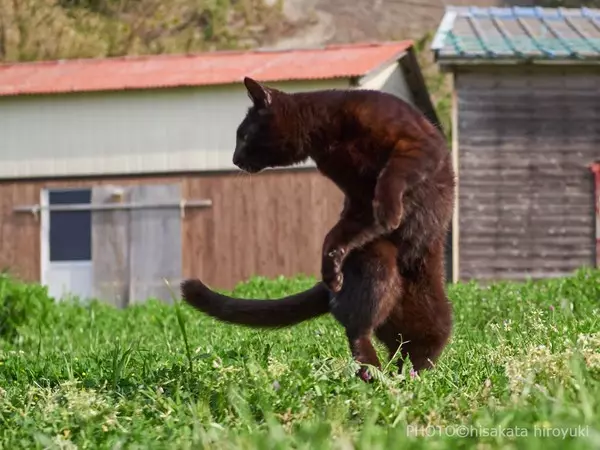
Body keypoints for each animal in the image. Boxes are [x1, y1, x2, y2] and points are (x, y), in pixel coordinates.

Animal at [178, 75, 454, 382]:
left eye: (244, 136)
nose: (235, 159)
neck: (331, 134)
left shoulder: (413, 142)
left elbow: (393, 173)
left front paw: (389, 211)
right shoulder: (358, 199)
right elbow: (336, 234)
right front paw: (330, 266)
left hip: (434, 316)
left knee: (412, 348)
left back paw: (406, 377)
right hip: (377, 262)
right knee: (358, 328)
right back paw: (374, 371)